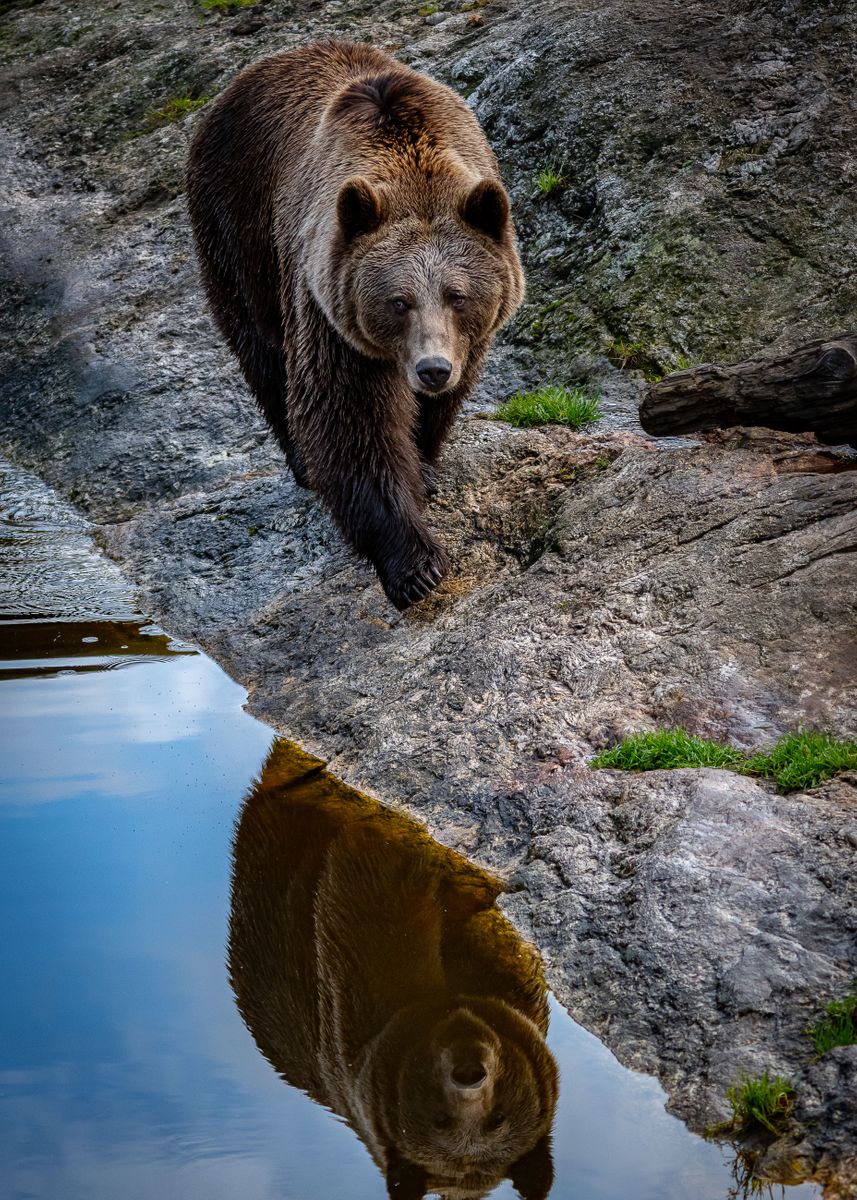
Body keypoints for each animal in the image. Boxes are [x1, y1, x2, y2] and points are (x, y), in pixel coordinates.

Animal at [186, 40, 525, 609]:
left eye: (457, 295)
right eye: (398, 301)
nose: (433, 368)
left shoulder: (472, 335)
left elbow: (436, 408)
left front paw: (424, 462)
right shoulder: (331, 309)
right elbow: (349, 420)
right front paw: (416, 565)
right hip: (239, 226)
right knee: (262, 350)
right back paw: (301, 461)